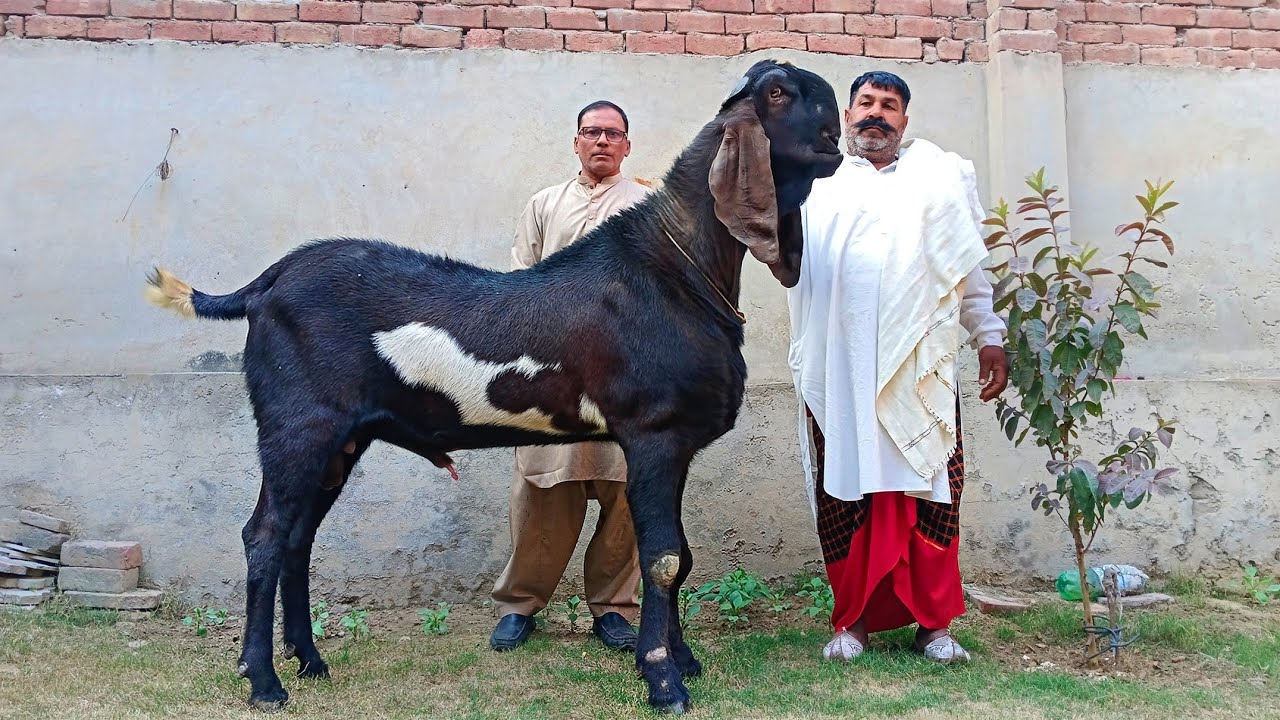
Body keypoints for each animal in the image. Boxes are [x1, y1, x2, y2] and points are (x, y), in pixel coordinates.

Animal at [145, 59, 843, 714]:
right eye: (778, 91)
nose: (838, 131)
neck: (675, 268)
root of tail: (264, 285)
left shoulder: (673, 450)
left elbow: (681, 556)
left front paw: (685, 662)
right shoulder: (654, 434)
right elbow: (664, 559)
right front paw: (664, 680)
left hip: (340, 442)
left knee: (296, 538)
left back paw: (310, 662)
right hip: (298, 426)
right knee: (264, 536)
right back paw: (264, 681)